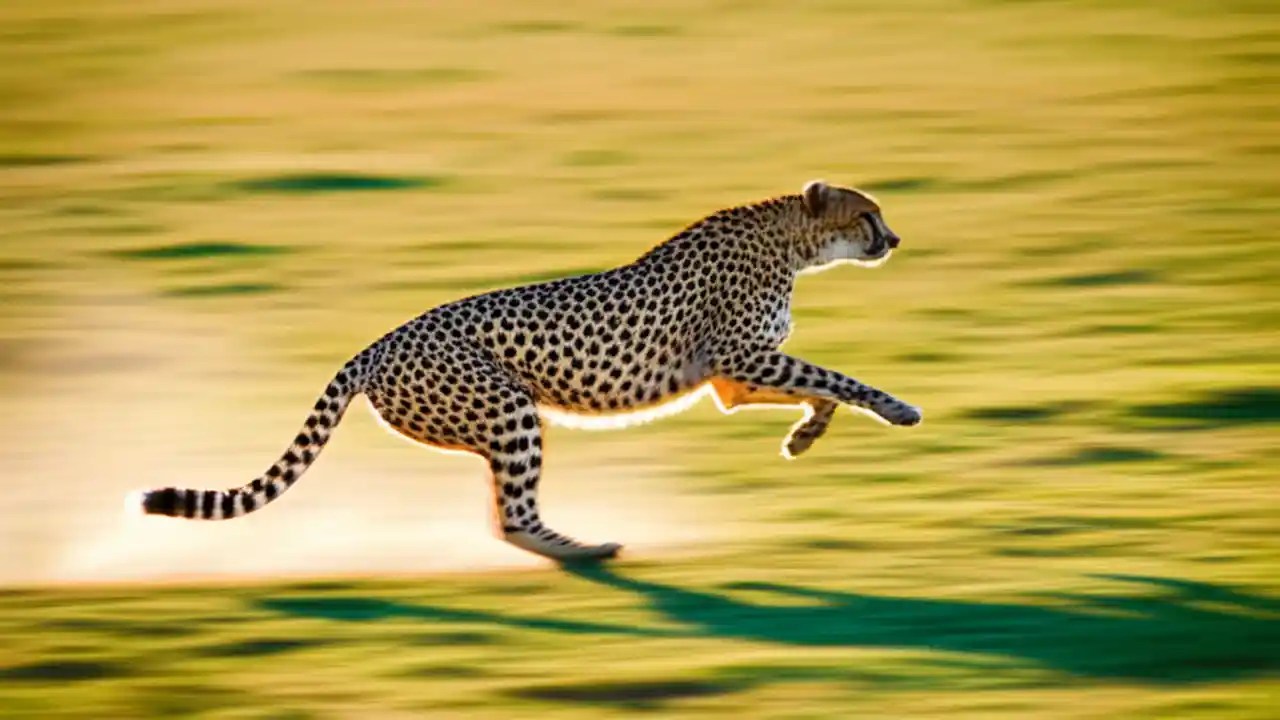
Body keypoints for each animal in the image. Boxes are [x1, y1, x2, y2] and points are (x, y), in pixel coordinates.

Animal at [133, 180, 922, 561]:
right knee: (511, 516)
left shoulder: (730, 376)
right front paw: (898, 408)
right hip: (508, 409)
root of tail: (380, 341)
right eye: (869, 214)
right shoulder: (743, 354)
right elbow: (840, 378)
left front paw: (805, 437)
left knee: (505, 514)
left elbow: (819, 389)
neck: (790, 241)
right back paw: (587, 549)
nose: (894, 239)